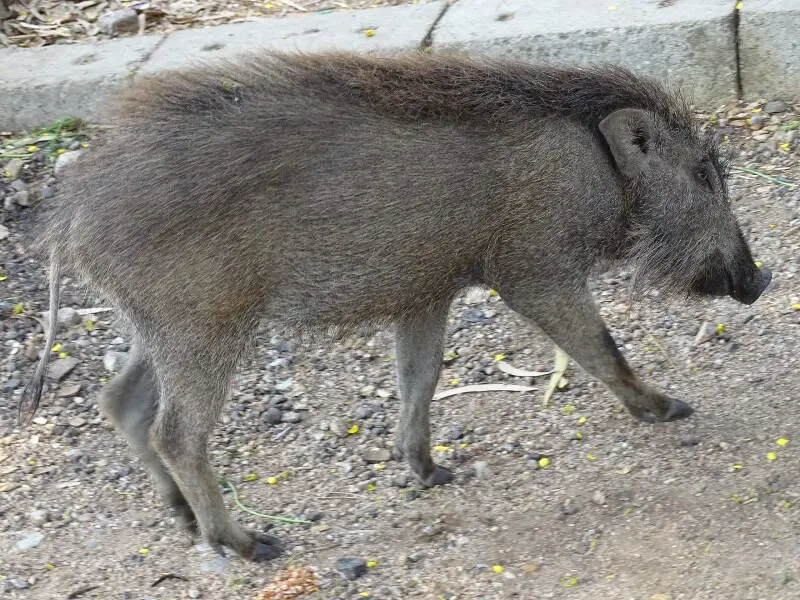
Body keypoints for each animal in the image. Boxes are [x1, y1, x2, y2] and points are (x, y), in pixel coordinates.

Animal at [20, 51, 771, 562]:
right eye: (704, 174)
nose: (761, 281)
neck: (597, 167)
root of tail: (72, 214)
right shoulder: (533, 272)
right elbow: (600, 349)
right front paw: (669, 408)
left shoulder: (427, 291)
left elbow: (422, 378)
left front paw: (432, 472)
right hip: (203, 328)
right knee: (176, 433)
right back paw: (247, 543)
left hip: (159, 327)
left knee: (123, 403)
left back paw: (180, 516)